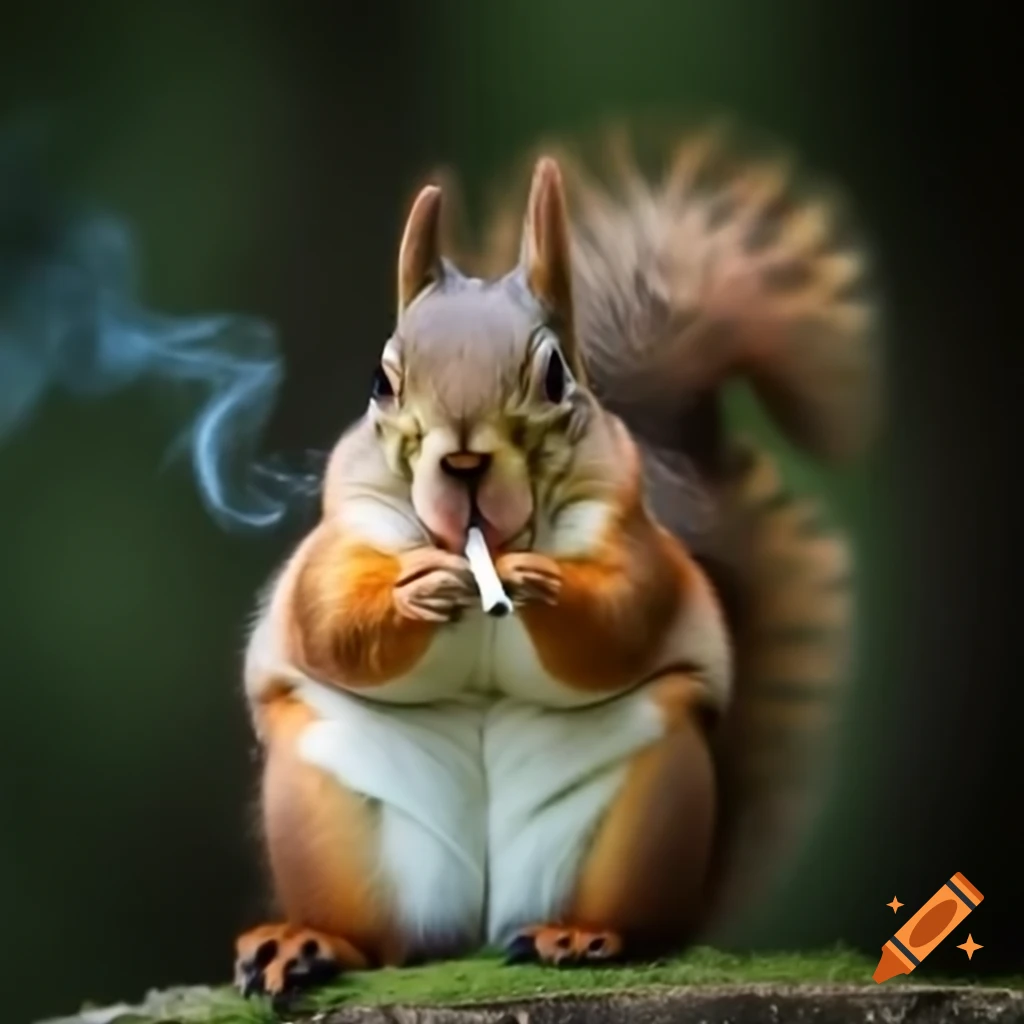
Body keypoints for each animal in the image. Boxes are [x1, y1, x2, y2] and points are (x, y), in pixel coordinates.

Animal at [234, 121, 879, 999]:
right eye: (381, 381)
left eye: (554, 375)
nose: (464, 461)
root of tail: (475, 924)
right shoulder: (345, 527)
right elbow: (328, 616)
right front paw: (415, 590)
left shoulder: (634, 537)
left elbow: (622, 618)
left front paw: (545, 586)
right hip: (325, 809)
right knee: (378, 939)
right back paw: (308, 942)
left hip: (648, 800)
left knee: (630, 917)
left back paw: (576, 934)